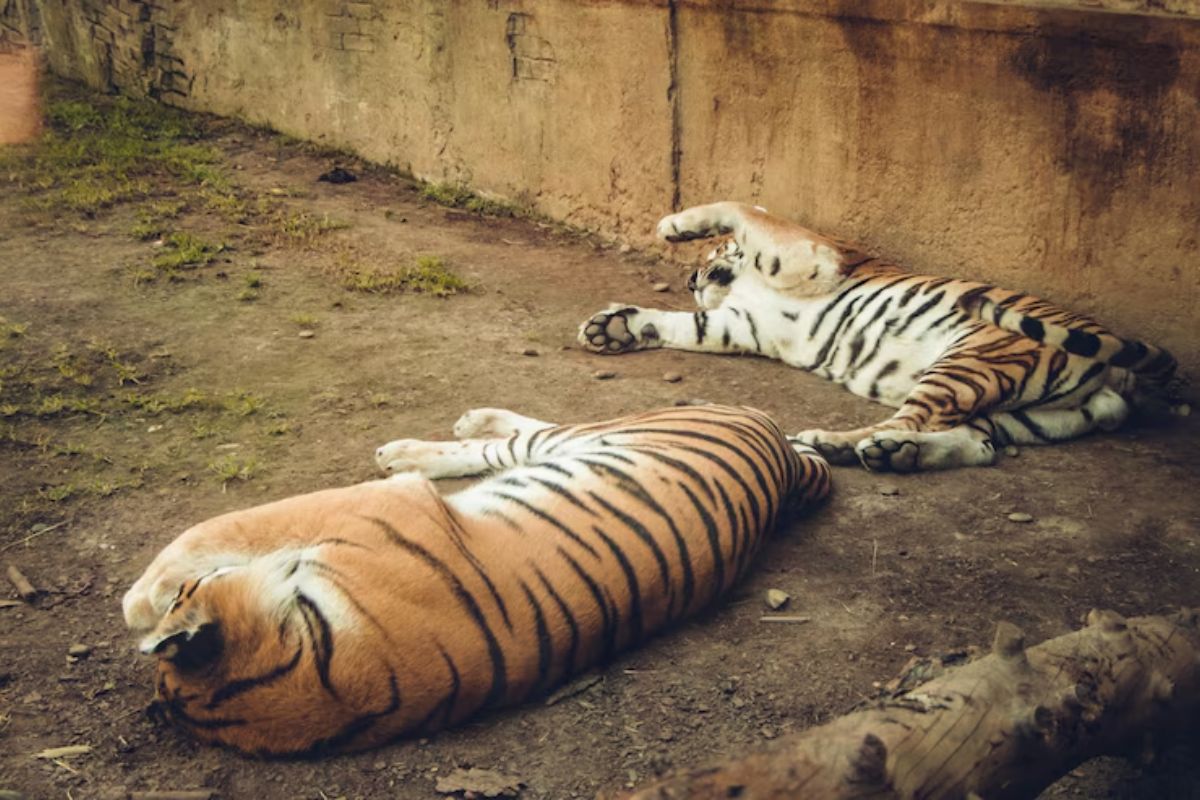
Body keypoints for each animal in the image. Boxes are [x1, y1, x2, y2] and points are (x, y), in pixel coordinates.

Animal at [122, 403, 831, 756]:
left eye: (184, 594)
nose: (173, 599)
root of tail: (782, 453)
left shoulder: (370, 511)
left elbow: (229, 528)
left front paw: (142, 598)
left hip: (589, 434)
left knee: (516, 433)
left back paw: (421, 442)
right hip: (565, 448)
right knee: (497, 446)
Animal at [578, 202, 1188, 472]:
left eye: (708, 257)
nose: (690, 278)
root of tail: (1120, 371)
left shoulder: (811, 256)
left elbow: (740, 205)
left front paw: (675, 224)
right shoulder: (742, 323)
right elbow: (683, 324)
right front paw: (613, 326)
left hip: (975, 359)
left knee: (917, 419)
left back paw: (834, 443)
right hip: (1029, 412)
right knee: (978, 444)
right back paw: (889, 452)